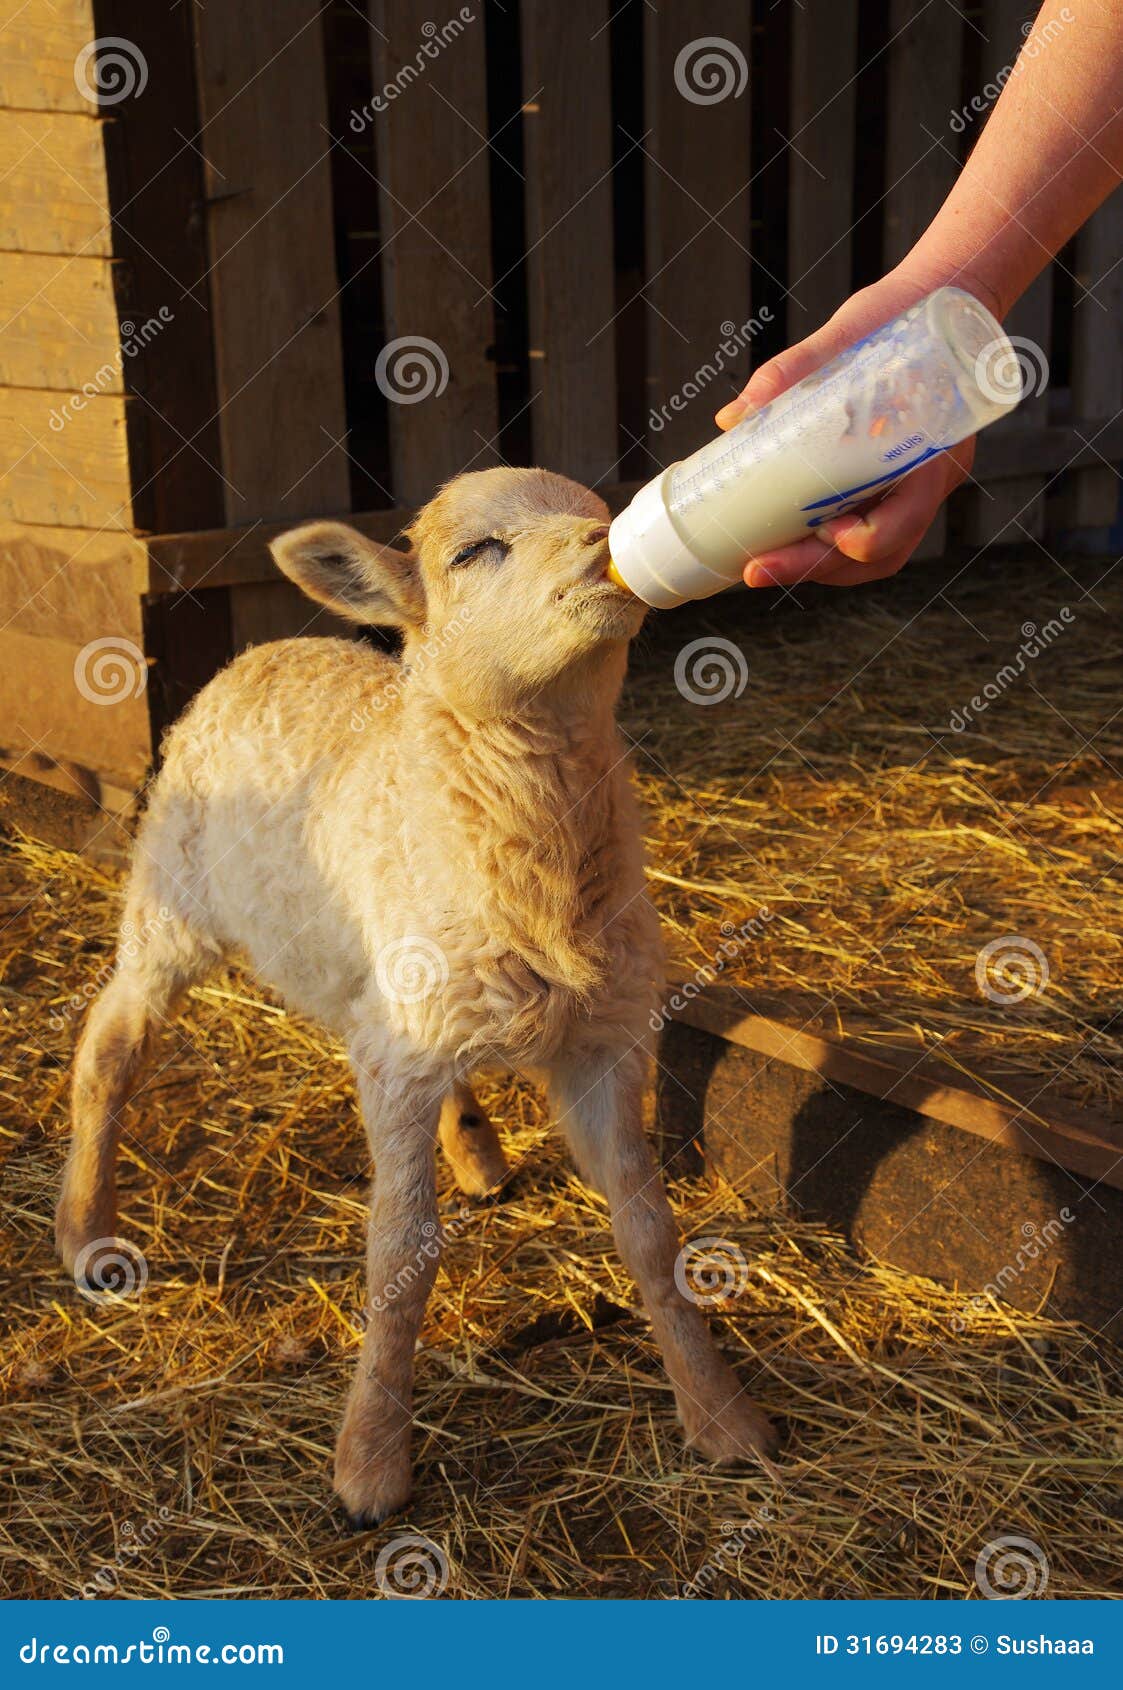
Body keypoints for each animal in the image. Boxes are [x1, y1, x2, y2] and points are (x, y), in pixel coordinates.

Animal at [55, 465, 778, 1524]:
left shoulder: (601, 1040)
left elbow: (650, 1233)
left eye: (594, 504)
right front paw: (369, 1467)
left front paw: (722, 1418)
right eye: (473, 552)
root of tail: (263, 651)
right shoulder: (403, 1056)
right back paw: (86, 1231)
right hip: (171, 903)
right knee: (109, 1043)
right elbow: (401, 1255)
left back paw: (474, 1152)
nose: (604, 548)